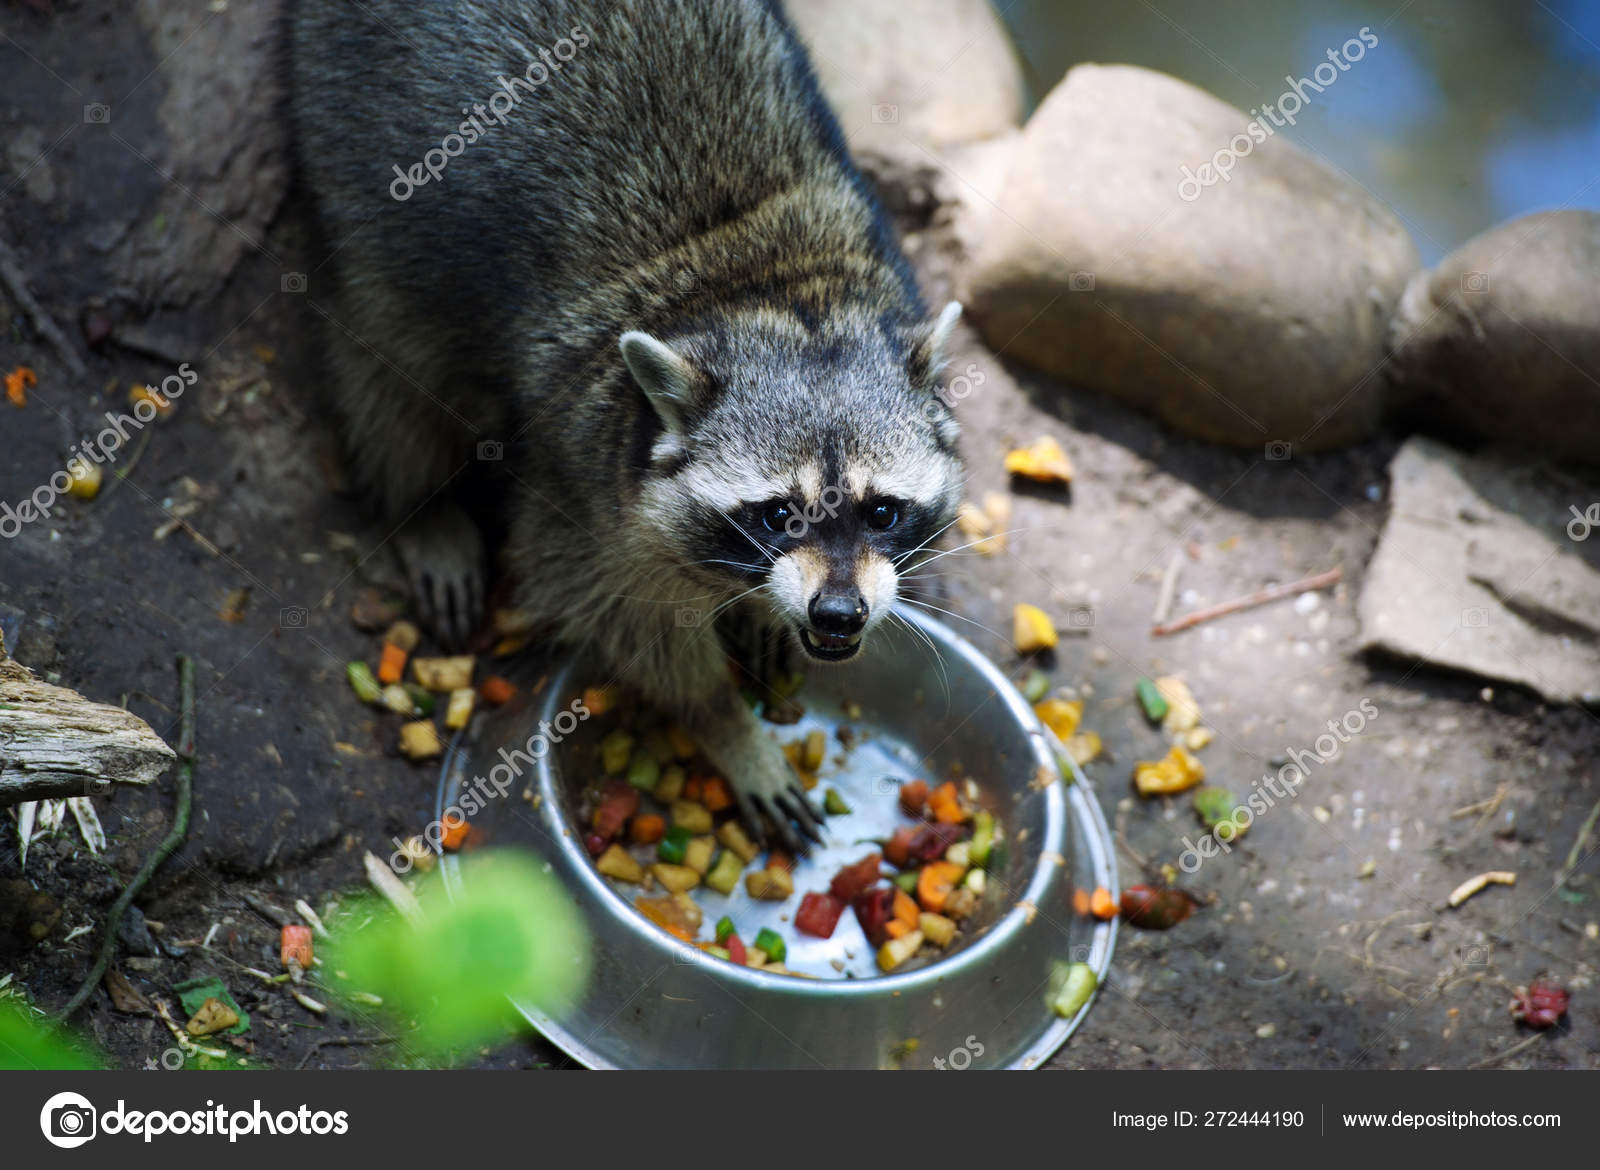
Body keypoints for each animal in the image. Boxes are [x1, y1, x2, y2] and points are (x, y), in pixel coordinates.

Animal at [288, 0, 965, 849]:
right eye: (777, 515)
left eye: (882, 512)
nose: (838, 613)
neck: (764, 287)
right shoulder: (578, 472)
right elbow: (623, 614)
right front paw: (725, 725)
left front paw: (759, 616)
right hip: (355, 150)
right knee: (387, 351)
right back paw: (420, 500)